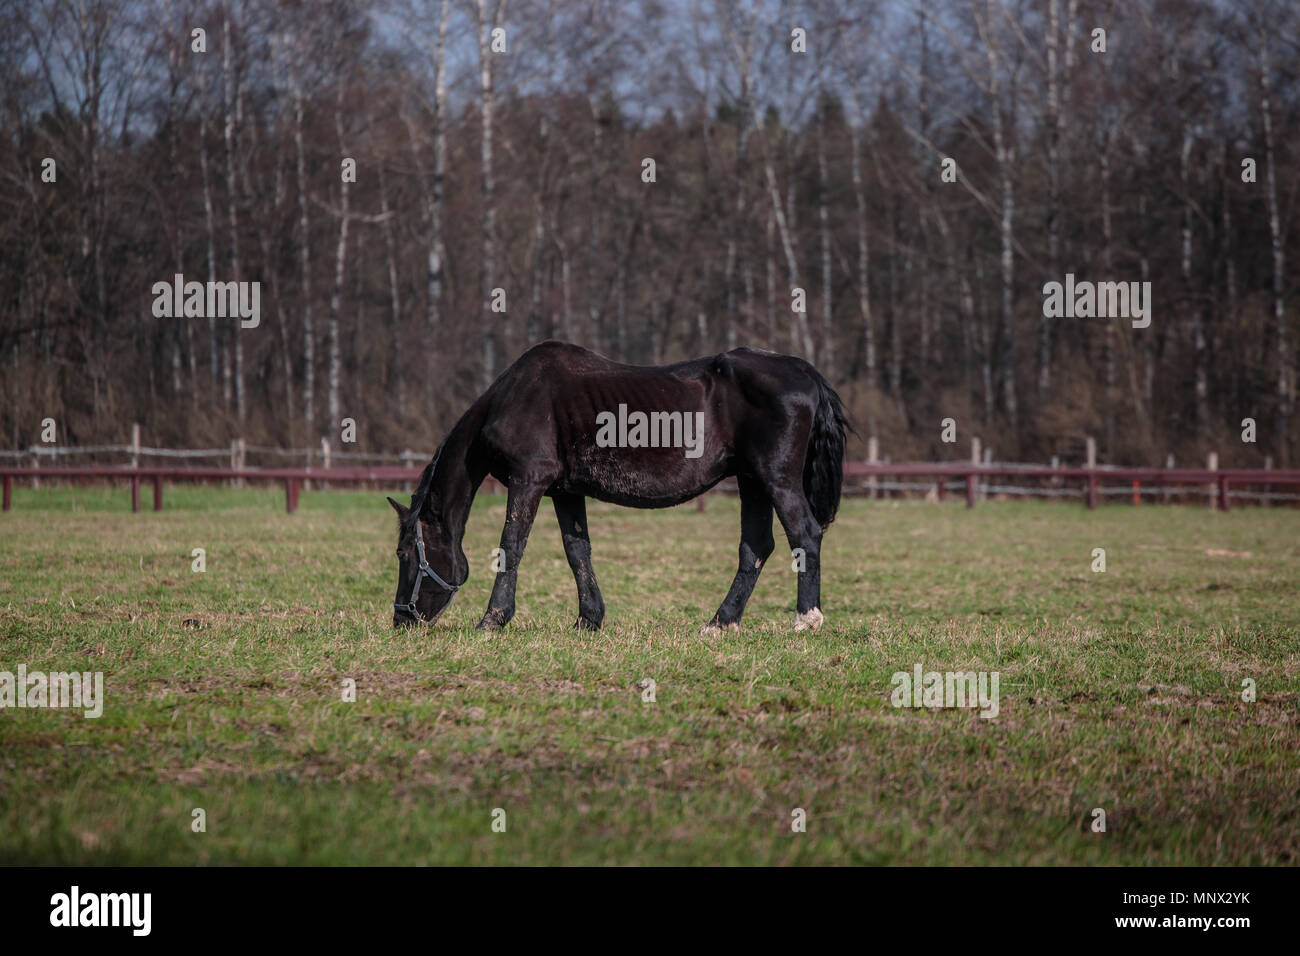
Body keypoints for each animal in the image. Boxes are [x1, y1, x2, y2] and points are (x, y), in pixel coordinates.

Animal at [388, 340, 850, 634]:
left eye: (405, 552)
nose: (401, 619)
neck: (514, 396)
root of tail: (806, 372)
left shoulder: (528, 480)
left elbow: (511, 545)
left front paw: (493, 619)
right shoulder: (565, 491)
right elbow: (577, 550)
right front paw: (588, 619)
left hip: (776, 479)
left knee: (804, 534)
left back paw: (805, 619)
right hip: (752, 481)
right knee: (755, 548)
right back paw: (721, 623)